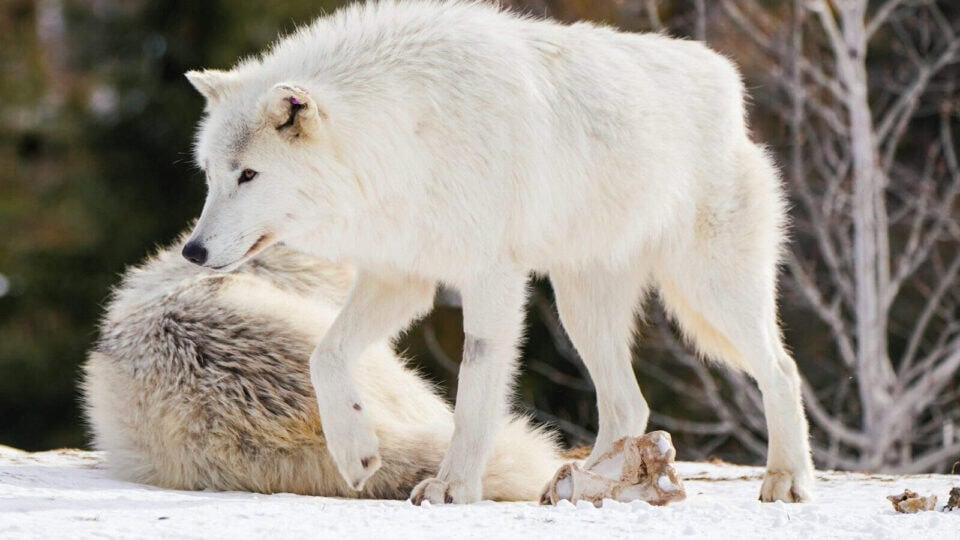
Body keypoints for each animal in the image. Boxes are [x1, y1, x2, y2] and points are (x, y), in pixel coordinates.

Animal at [181, 0, 815, 504]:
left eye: (249, 175)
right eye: (209, 175)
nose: (192, 250)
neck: (405, 131)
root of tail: (726, 79)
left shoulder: (490, 278)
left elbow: (474, 394)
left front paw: (453, 487)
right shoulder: (400, 278)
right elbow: (325, 356)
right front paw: (356, 453)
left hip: (711, 295)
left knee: (782, 370)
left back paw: (786, 479)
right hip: (581, 311)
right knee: (628, 406)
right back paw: (585, 484)